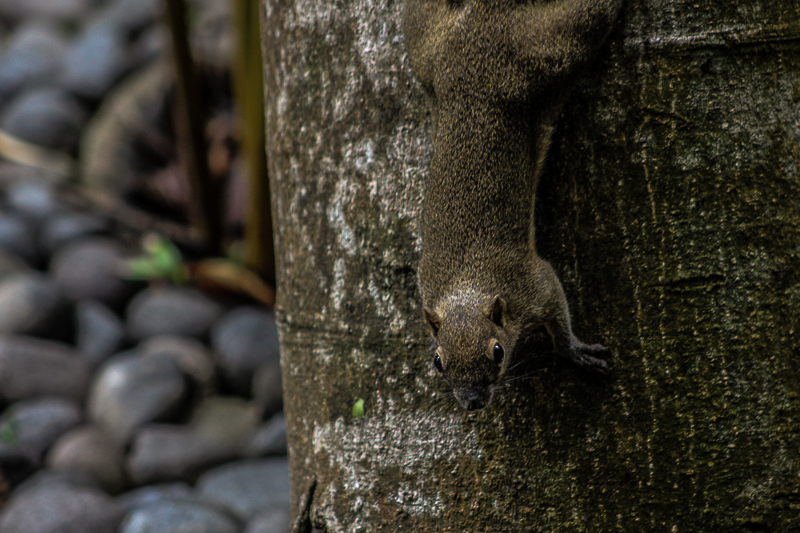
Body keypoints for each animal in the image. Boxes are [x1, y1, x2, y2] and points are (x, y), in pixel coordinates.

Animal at [403, 0, 623, 411]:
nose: (472, 402)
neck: (467, 288)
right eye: (438, 361)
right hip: (426, 48)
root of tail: (478, 23)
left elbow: (557, 308)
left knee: (592, 16)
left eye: (497, 352)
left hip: (550, 49)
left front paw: (573, 350)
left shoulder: (532, 284)